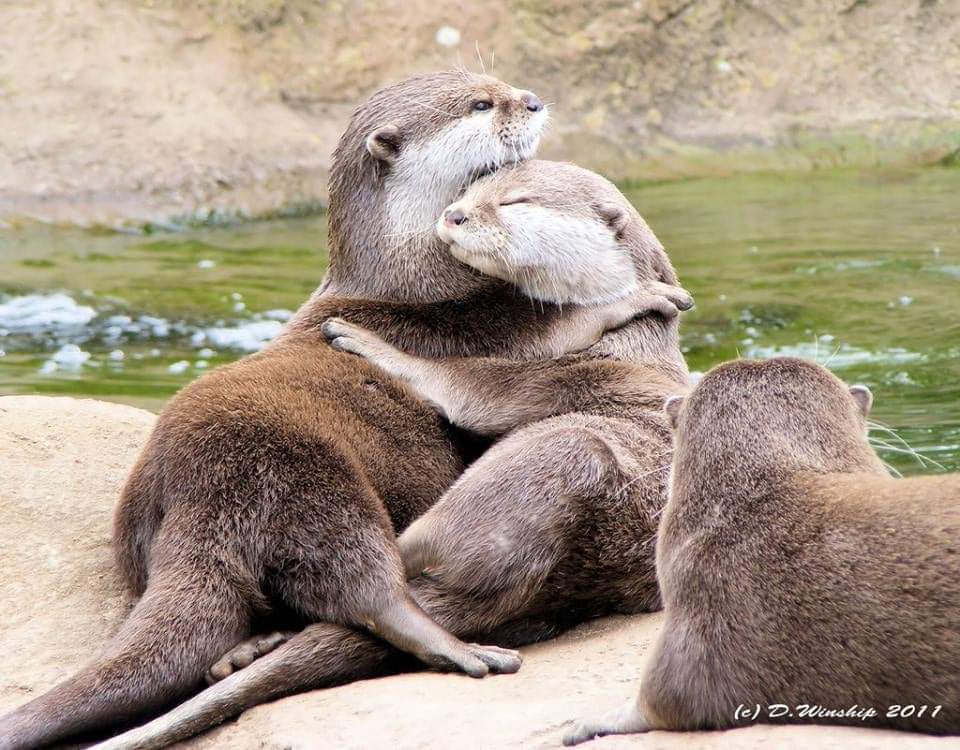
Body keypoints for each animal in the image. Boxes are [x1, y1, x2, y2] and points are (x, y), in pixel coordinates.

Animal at [88, 160, 692, 750]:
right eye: (478, 184)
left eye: (515, 200)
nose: (453, 214)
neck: (631, 341)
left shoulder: (566, 377)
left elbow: (471, 389)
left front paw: (371, 344)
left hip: (557, 455)